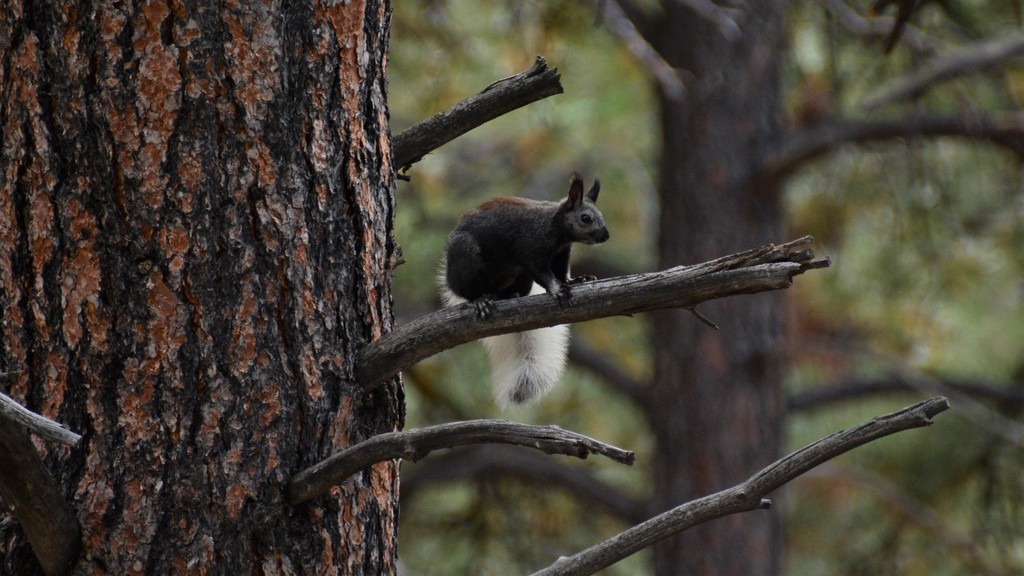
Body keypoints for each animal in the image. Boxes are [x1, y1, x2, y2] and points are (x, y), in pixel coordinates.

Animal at [439, 173, 609, 406]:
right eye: (586, 218)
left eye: (600, 214)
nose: (606, 236)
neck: (554, 227)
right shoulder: (530, 249)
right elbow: (543, 274)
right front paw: (556, 290)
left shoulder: (562, 253)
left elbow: (562, 272)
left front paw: (575, 280)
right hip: (466, 259)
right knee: (467, 292)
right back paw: (479, 300)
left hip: (521, 279)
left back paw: (511, 295)